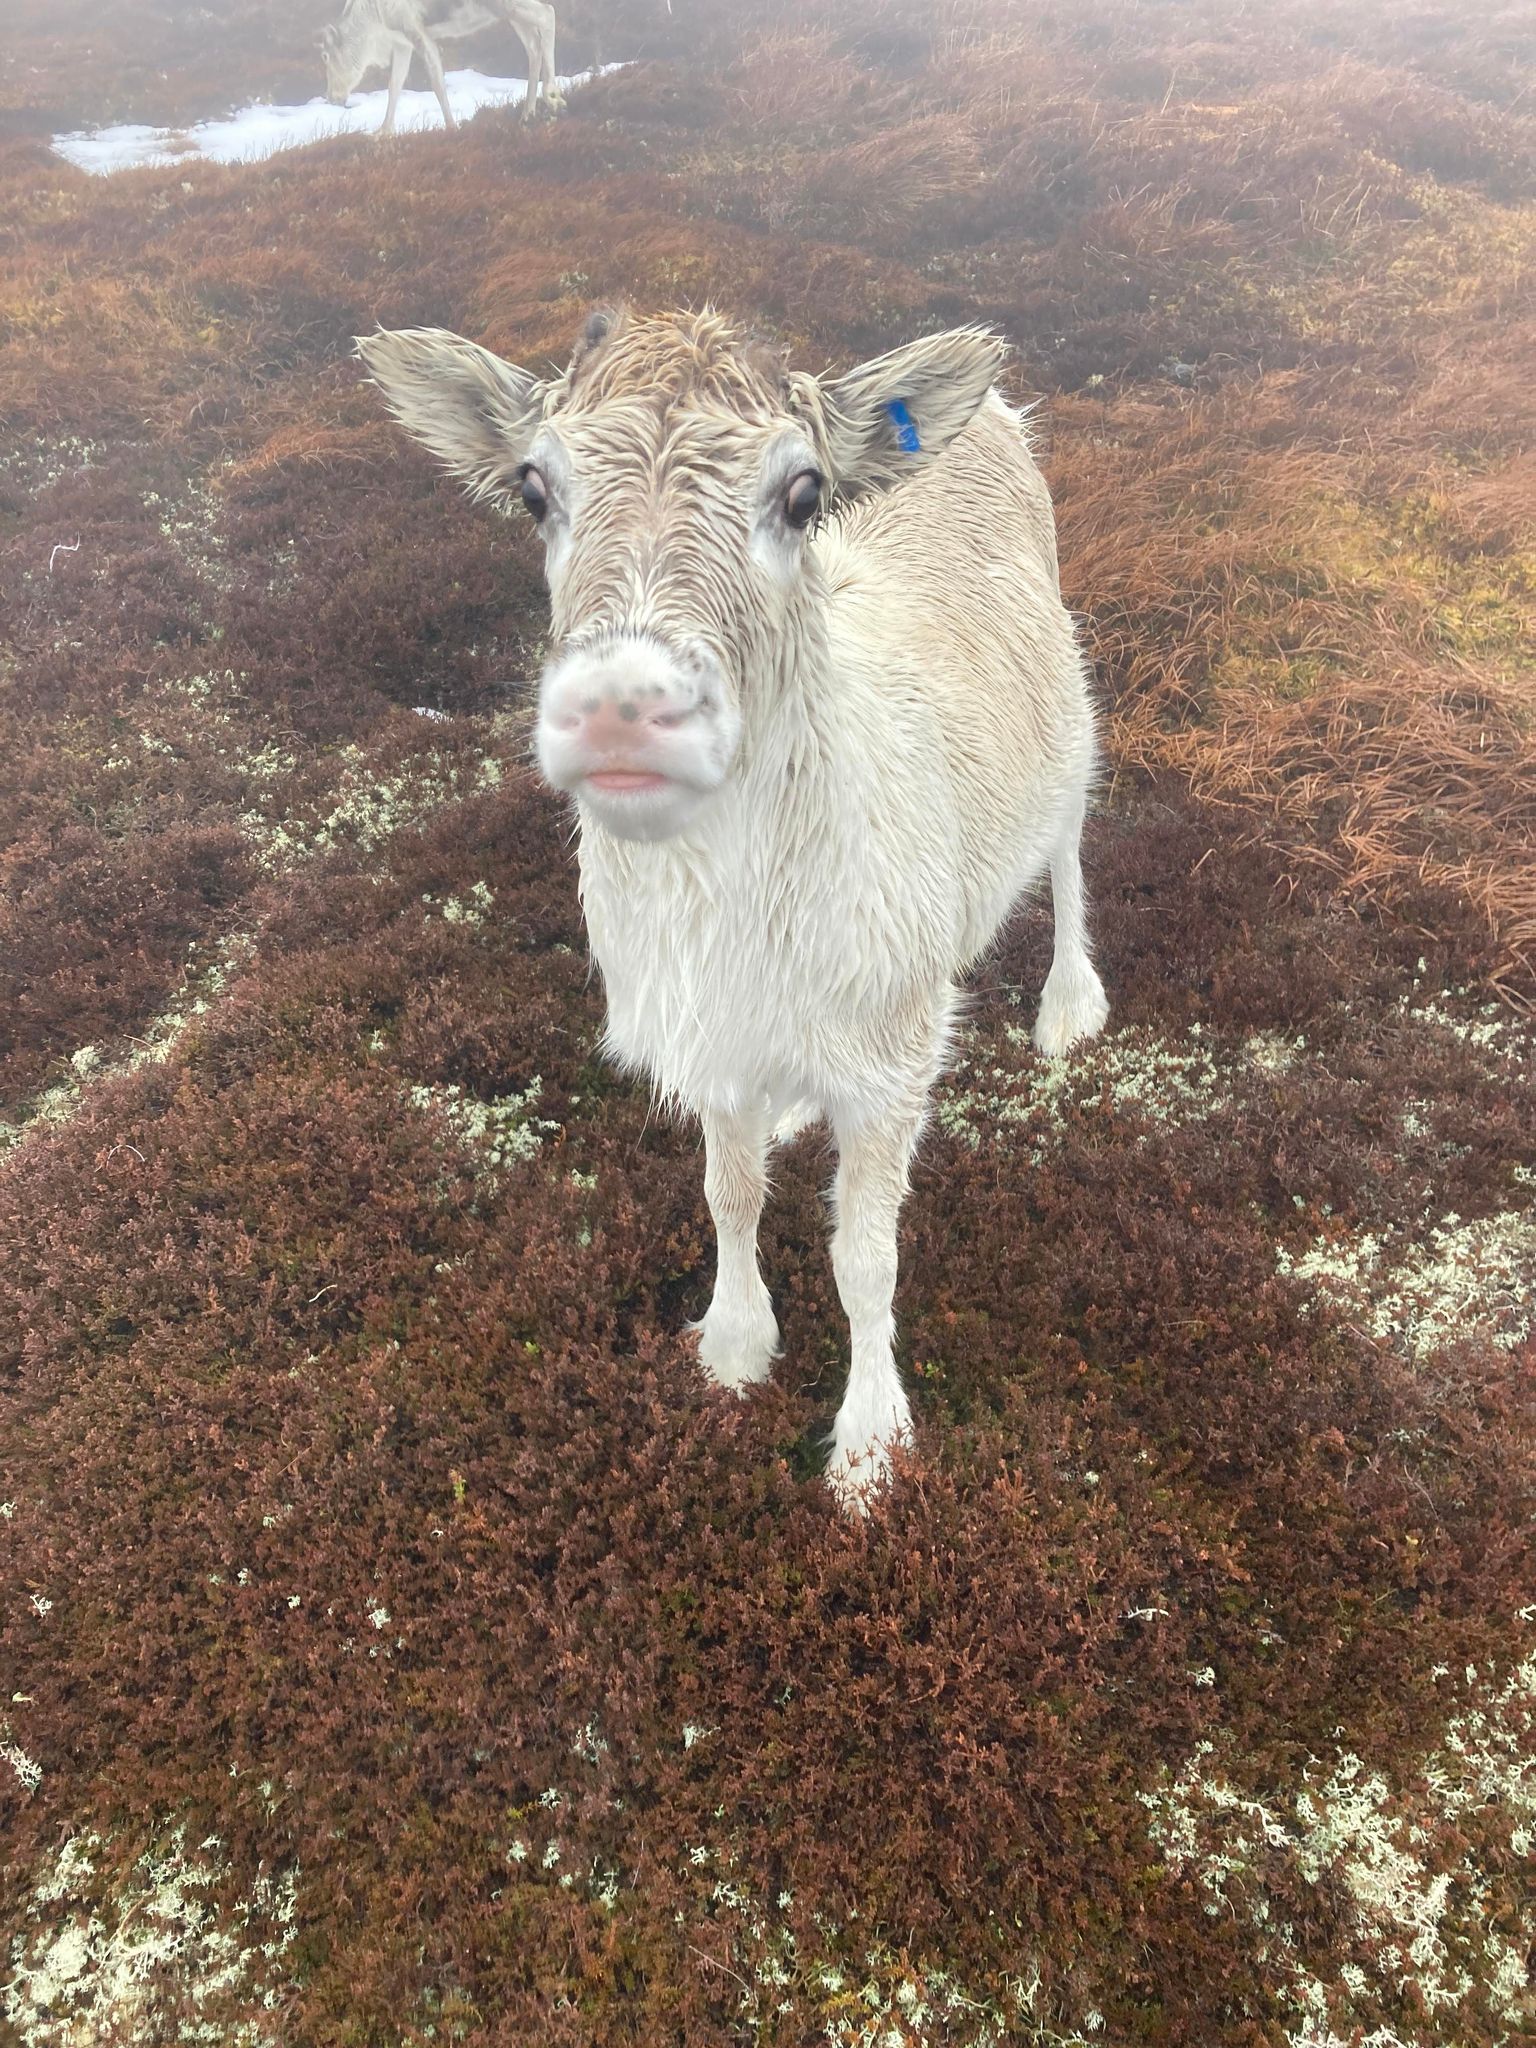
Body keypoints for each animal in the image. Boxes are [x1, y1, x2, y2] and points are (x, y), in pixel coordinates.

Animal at [320, 0, 561, 137]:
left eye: (325, 57)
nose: (332, 97)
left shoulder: (417, 33)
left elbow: (436, 82)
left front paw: (452, 127)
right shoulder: (402, 44)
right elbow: (394, 85)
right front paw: (383, 132)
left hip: (506, 6)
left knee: (547, 13)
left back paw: (552, 96)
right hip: (511, 16)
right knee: (533, 47)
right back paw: (527, 114)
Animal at [357, 306, 1110, 1508]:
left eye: (802, 494)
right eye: (531, 487)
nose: (622, 707)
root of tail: (994, 412)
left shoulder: (895, 1048)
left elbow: (865, 1256)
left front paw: (868, 1451)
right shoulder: (708, 1037)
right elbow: (729, 1193)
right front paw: (732, 1348)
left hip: (1070, 704)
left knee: (1075, 840)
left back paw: (1070, 1010)